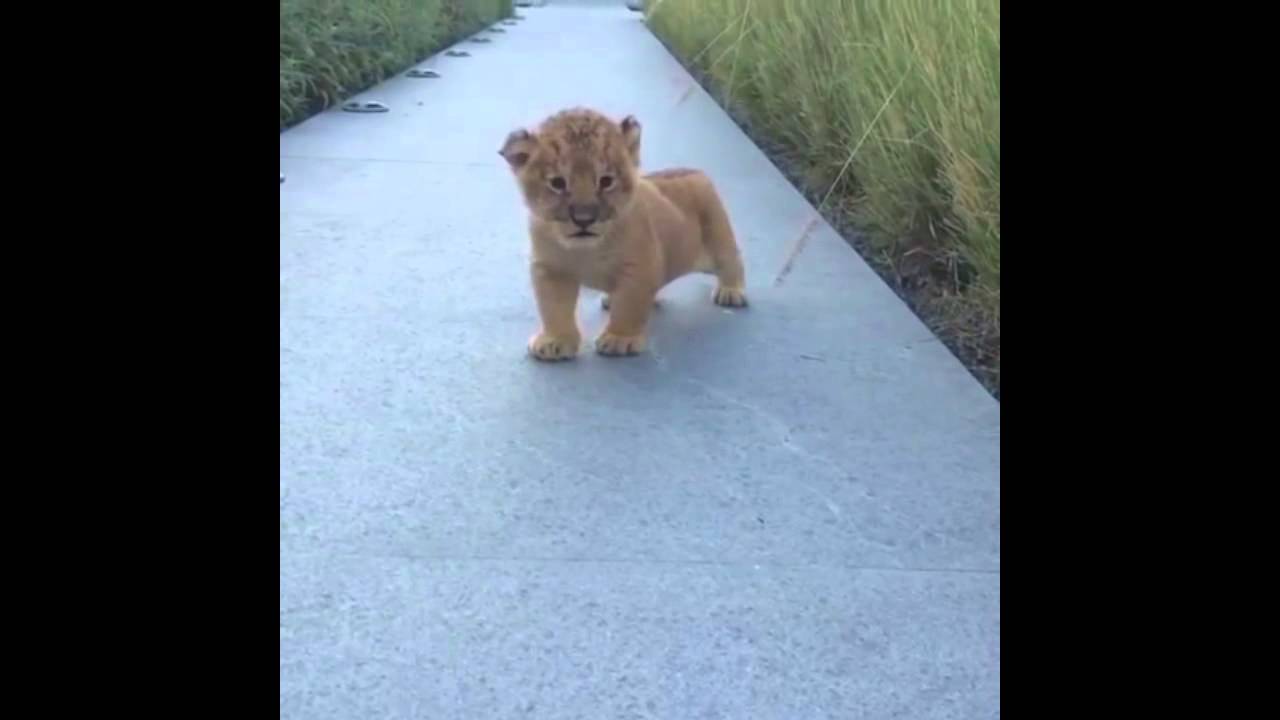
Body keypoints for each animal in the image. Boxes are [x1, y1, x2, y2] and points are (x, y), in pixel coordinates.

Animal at [499, 107, 747, 361]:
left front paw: (619, 340)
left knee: (731, 262)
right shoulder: (550, 270)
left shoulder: (638, 267)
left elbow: (629, 306)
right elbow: (553, 308)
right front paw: (554, 342)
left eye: (606, 181)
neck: (585, 250)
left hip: (717, 235)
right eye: (557, 183)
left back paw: (731, 292)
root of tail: (695, 170)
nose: (584, 219)